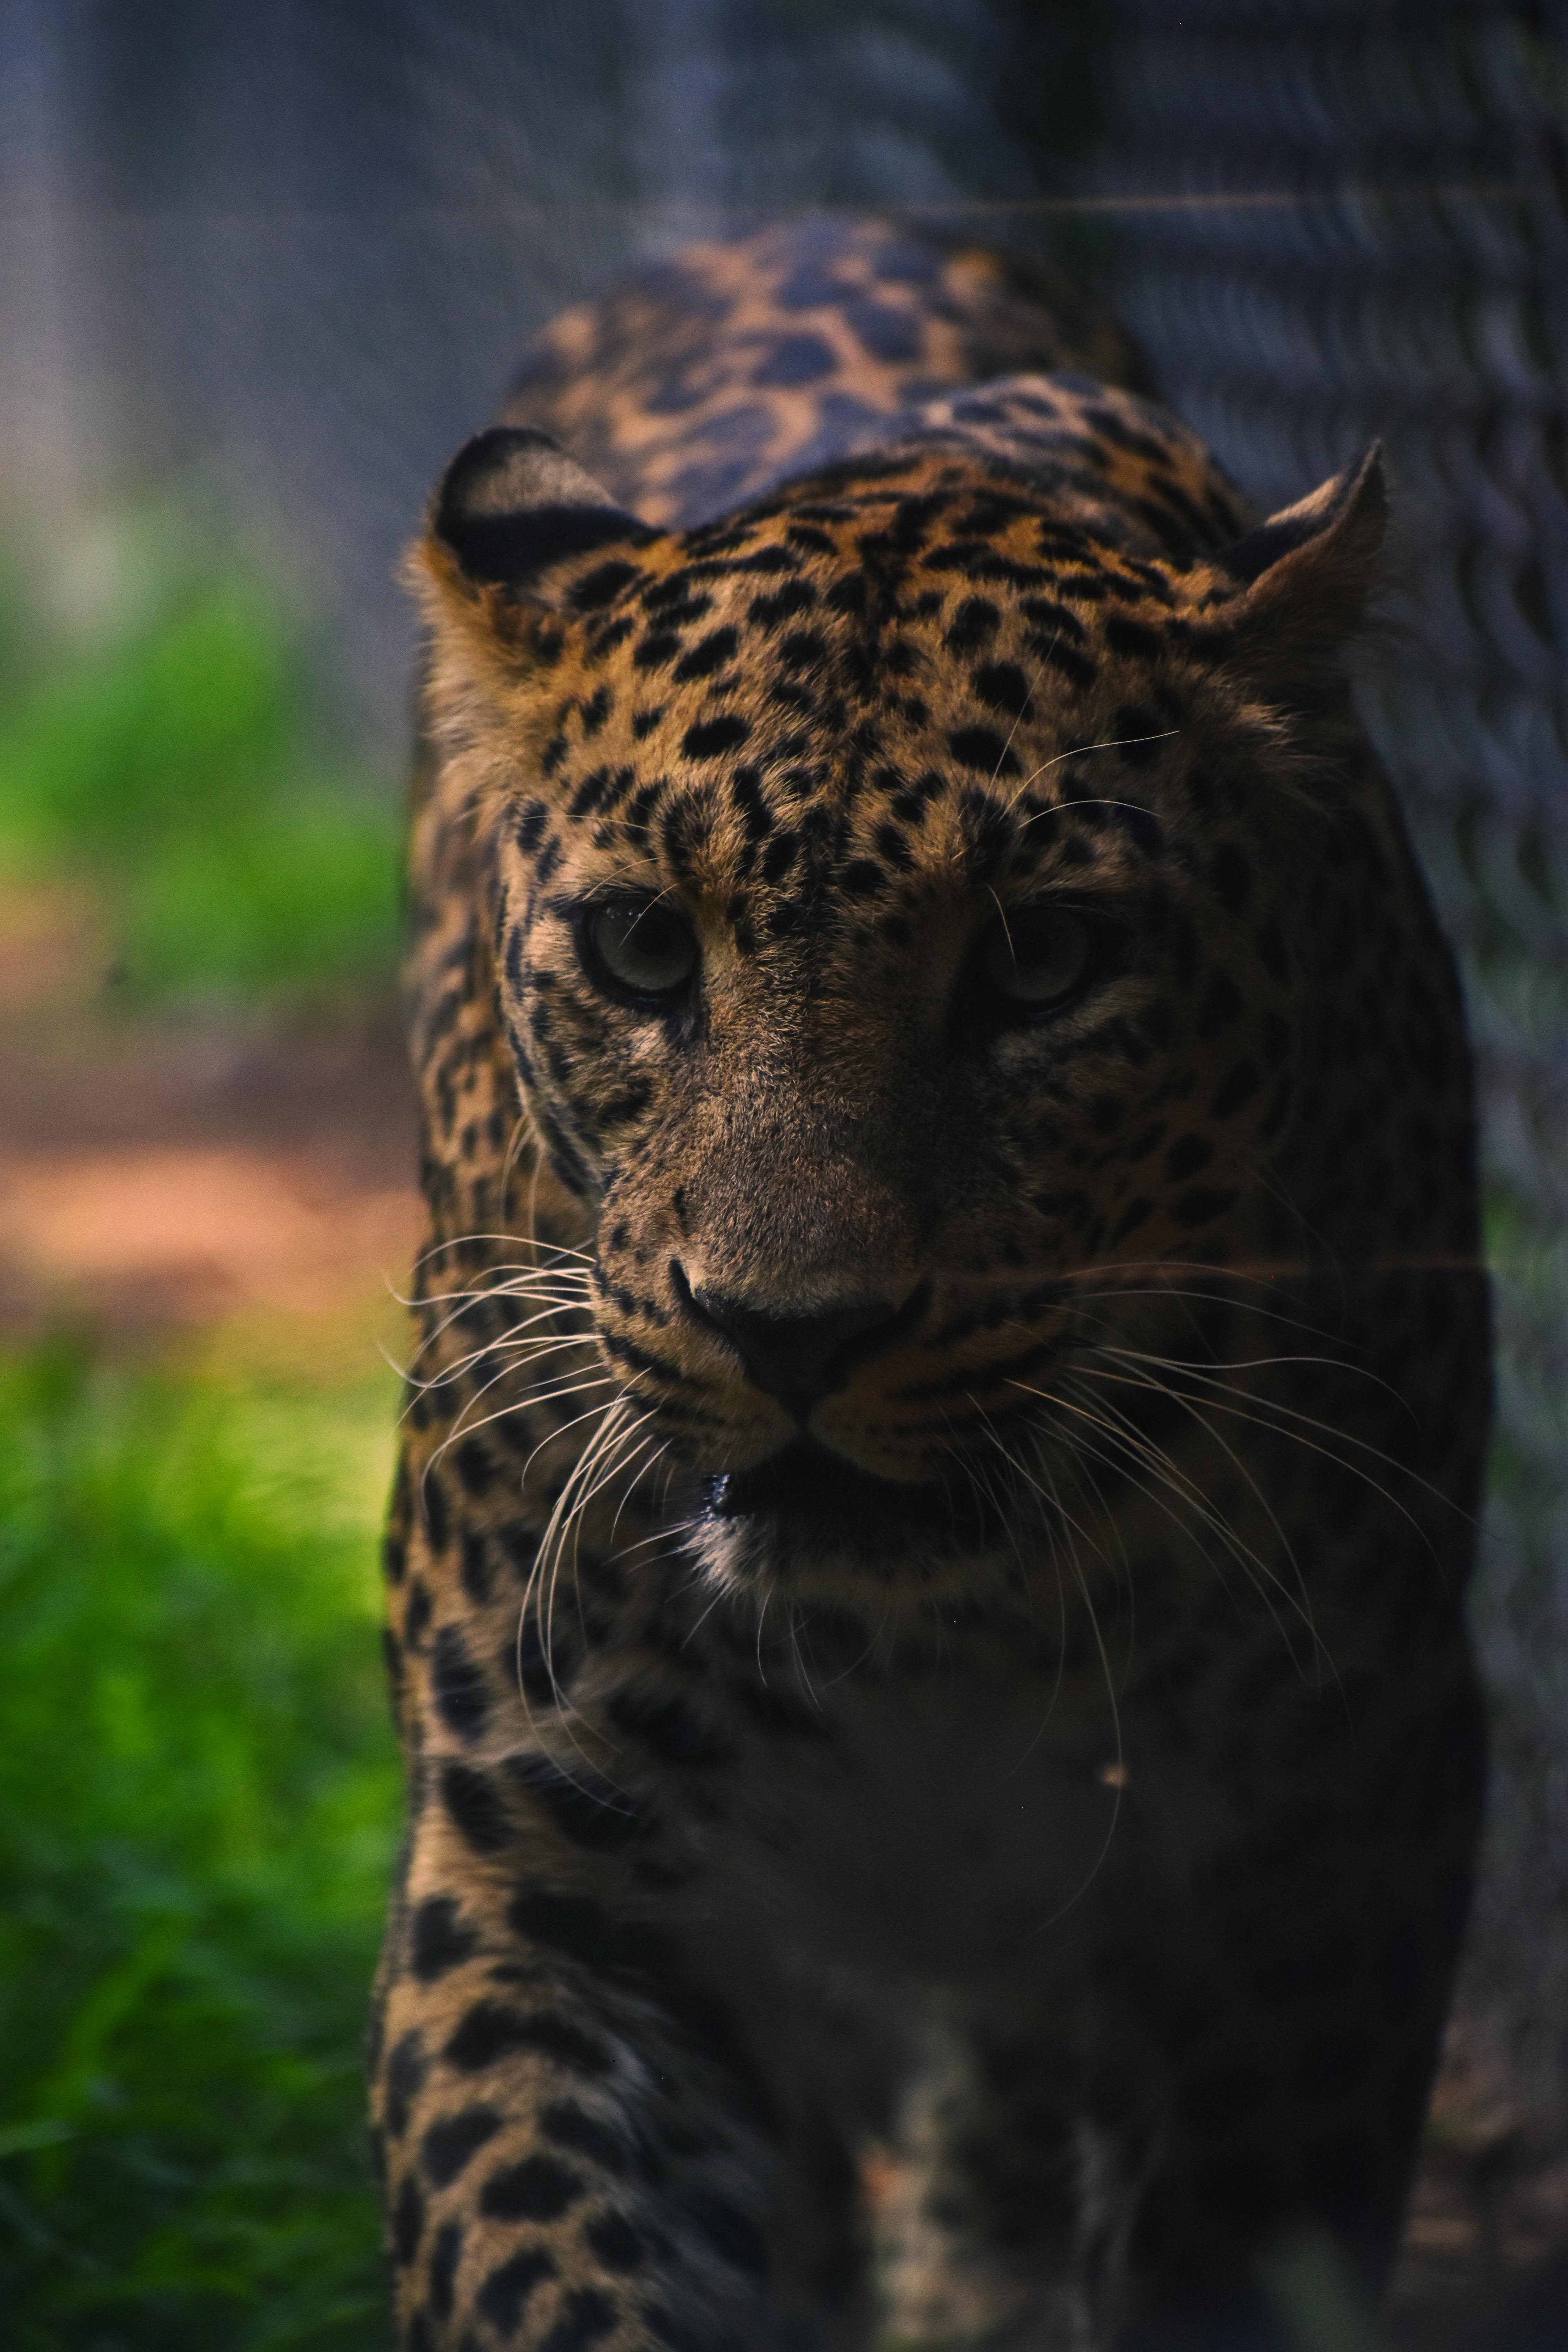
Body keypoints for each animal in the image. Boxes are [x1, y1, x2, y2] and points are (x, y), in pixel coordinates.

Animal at [370, 216, 1490, 2352]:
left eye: (1042, 964)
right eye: (642, 951)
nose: (788, 1332)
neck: (927, 1642)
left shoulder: (1321, 1854)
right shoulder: (544, 1880)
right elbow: (549, 2265)